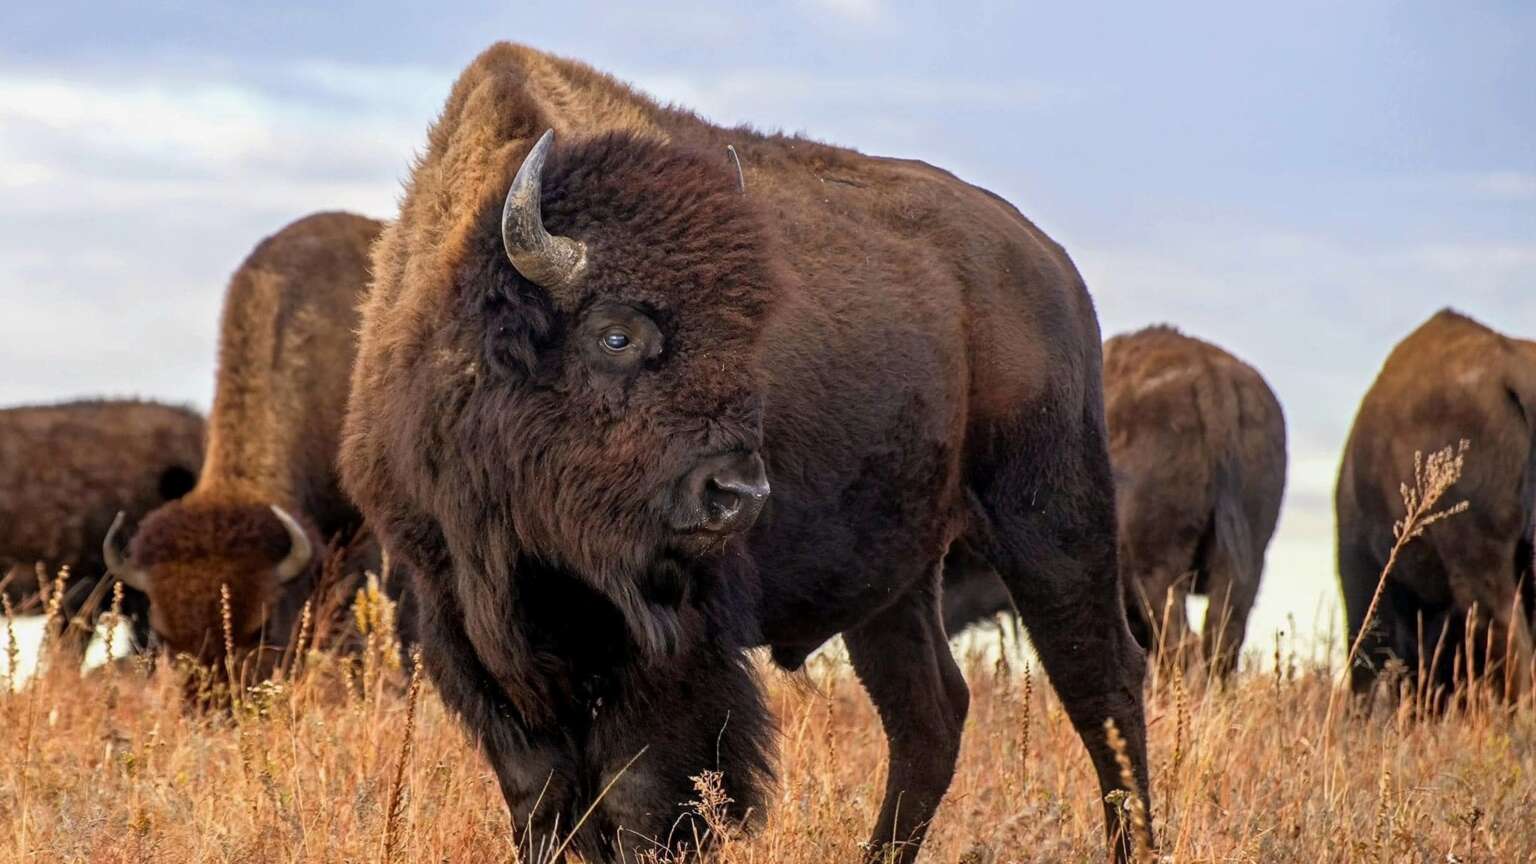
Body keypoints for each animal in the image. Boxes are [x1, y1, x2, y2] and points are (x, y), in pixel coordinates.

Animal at [340, 44, 1151, 862]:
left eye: (746, 335)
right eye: (615, 334)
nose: (738, 494)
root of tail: (1052, 264)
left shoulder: (671, 641)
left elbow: (643, 798)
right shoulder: (461, 620)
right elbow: (543, 799)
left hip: (1051, 519)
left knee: (1103, 685)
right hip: (897, 579)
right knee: (930, 711)